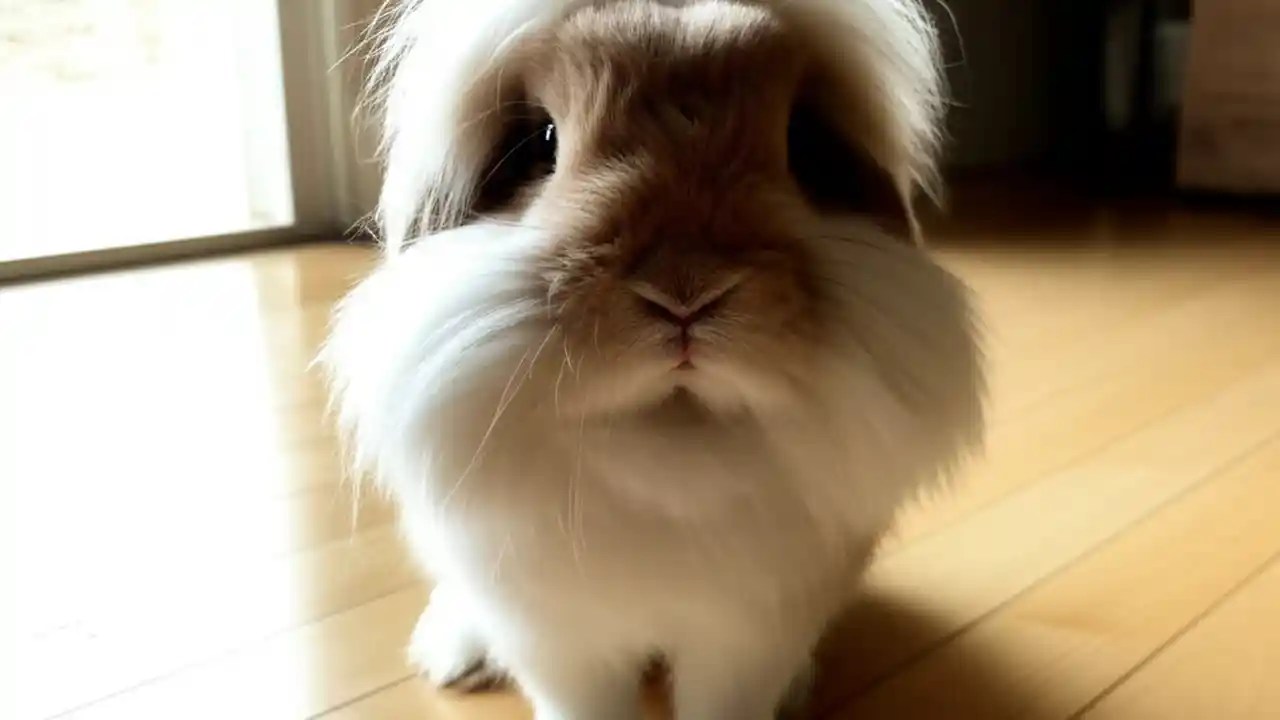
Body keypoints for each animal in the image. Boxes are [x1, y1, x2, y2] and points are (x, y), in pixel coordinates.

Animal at [321, 0, 985, 718]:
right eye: (539, 143)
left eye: (804, 142)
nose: (686, 291)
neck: (674, 445)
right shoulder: (561, 640)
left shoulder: (747, 641)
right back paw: (453, 658)